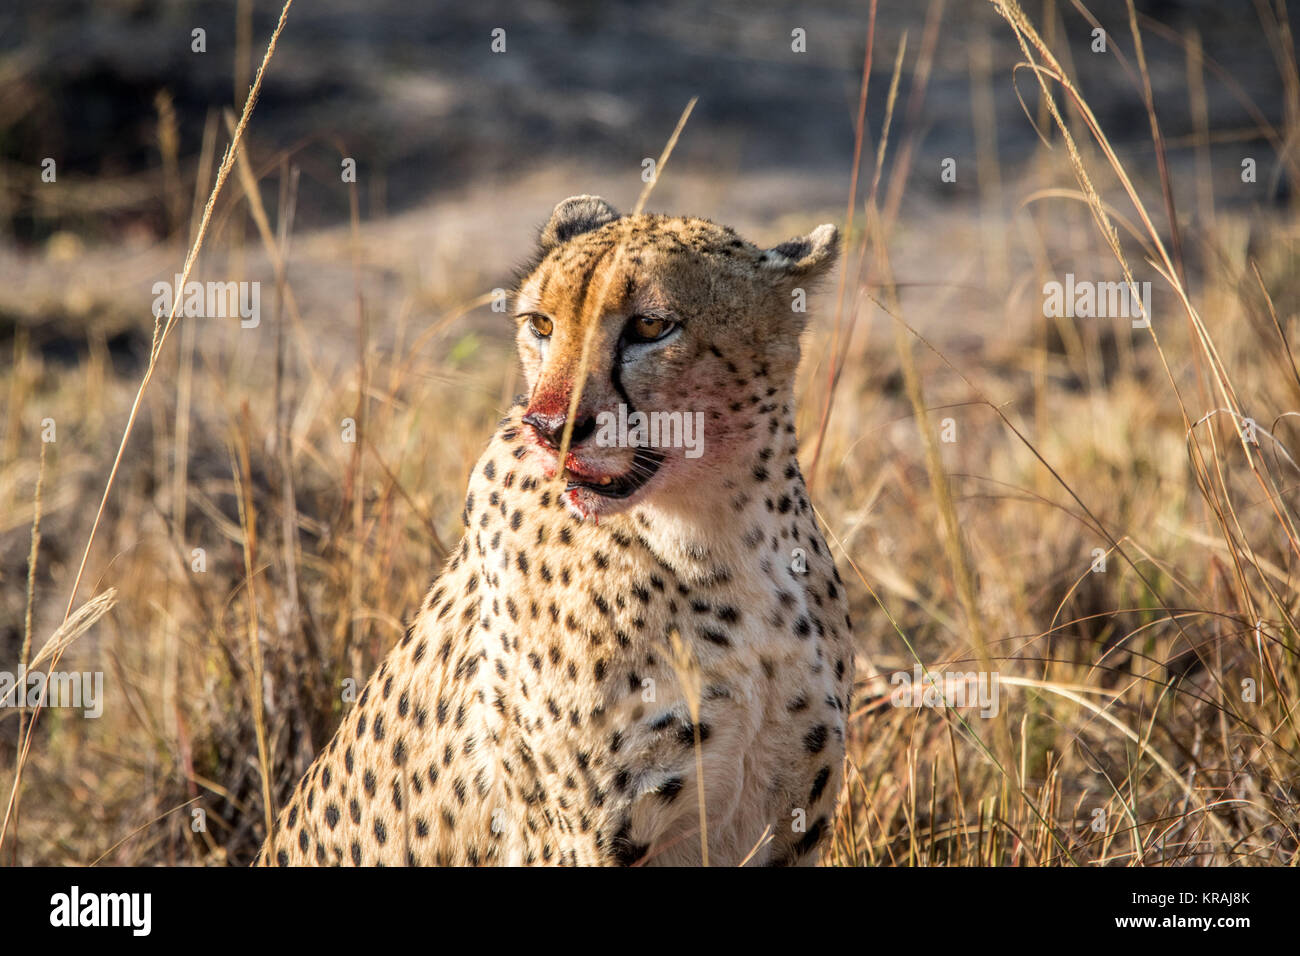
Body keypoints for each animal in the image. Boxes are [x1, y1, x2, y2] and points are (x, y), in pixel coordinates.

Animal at [255, 195, 856, 866]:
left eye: (651, 327)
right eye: (541, 324)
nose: (548, 427)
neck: (720, 534)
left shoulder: (787, 831)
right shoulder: (579, 839)